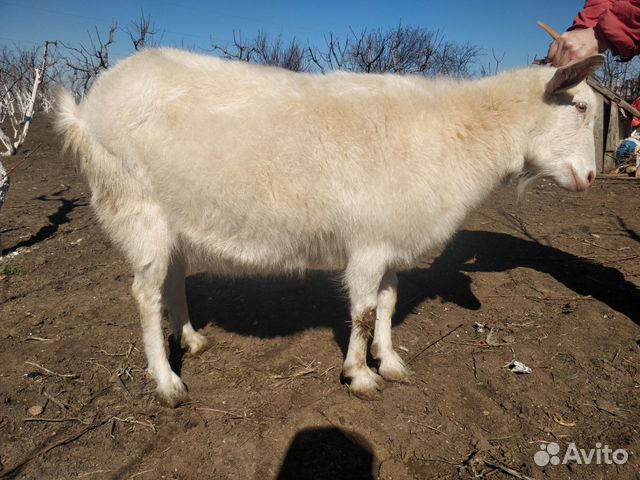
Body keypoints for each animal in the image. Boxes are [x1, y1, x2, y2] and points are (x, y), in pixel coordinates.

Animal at [55, 48, 604, 406]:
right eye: (579, 106)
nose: (591, 177)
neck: (453, 133)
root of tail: (86, 109)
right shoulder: (367, 246)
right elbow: (361, 312)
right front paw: (359, 375)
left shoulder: (387, 240)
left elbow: (388, 302)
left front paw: (390, 359)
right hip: (136, 209)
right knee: (145, 294)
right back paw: (167, 383)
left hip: (174, 224)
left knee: (170, 281)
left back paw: (191, 341)